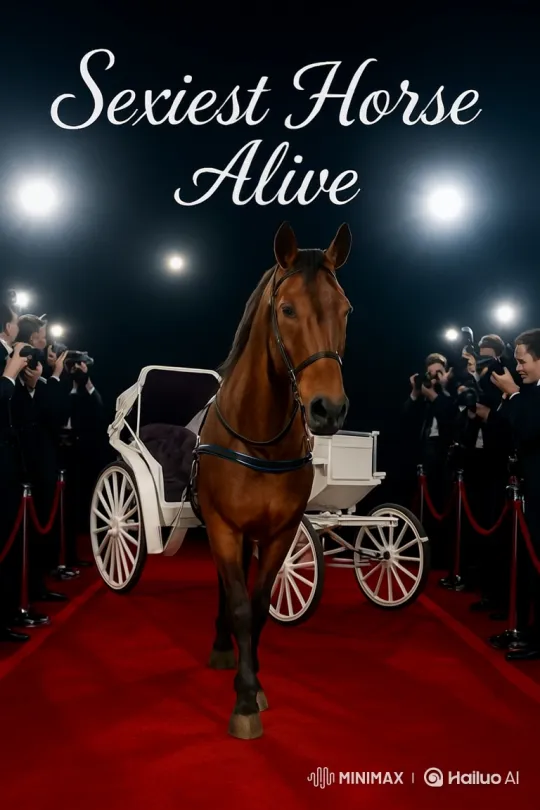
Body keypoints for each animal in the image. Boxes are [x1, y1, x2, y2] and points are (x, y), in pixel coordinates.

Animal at [194, 221, 353, 739]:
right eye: (287, 309)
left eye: (345, 310)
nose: (328, 409)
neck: (259, 439)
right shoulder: (223, 526)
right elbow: (243, 605)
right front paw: (244, 699)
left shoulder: (282, 531)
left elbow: (261, 604)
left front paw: (255, 680)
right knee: (227, 586)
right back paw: (223, 645)